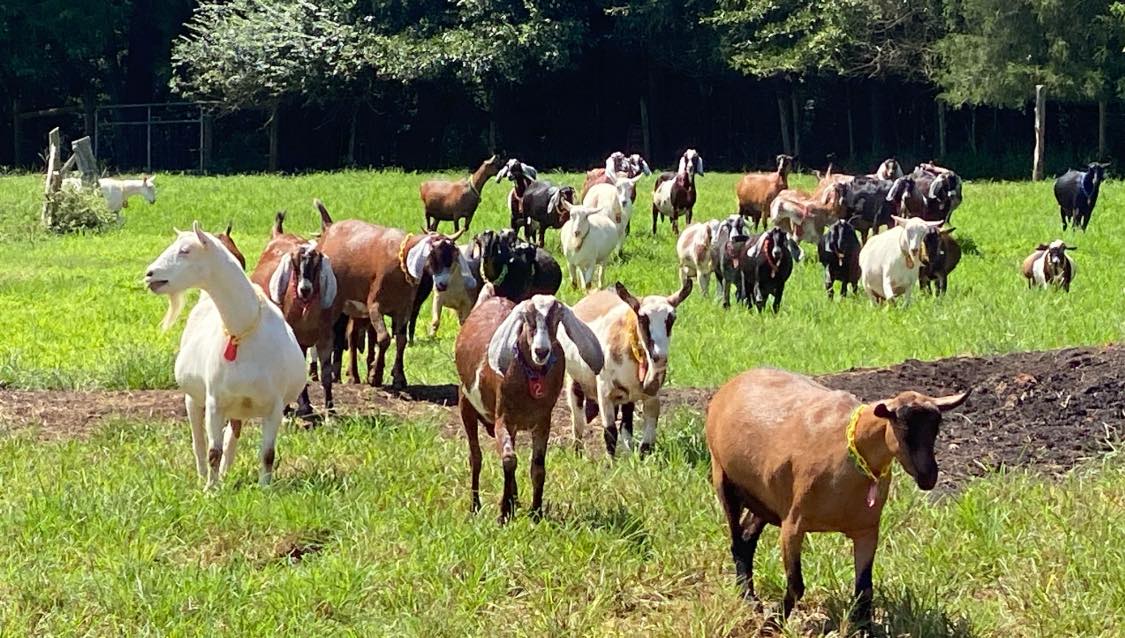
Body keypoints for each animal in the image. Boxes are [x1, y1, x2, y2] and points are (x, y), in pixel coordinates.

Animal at [144, 222, 306, 489]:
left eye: (186, 250)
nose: (150, 274)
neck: (242, 333)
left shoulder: (275, 406)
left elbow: (267, 453)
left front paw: (265, 488)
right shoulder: (214, 402)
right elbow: (213, 451)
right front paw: (211, 489)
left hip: (239, 407)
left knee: (233, 434)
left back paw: (227, 473)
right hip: (193, 397)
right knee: (199, 442)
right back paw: (203, 476)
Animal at [316, 200, 472, 388]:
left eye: (452, 258)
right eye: (434, 256)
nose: (442, 285)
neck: (401, 259)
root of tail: (329, 229)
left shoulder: (403, 309)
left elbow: (401, 340)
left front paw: (399, 377)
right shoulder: (374, 305)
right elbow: (383, 339)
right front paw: (375, 375)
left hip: (354, 307)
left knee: (352, 335)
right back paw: (347, 376)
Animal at [456, 294, 603, 521]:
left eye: (556, 318)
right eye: (528, 318)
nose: (541, 351)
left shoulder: (542, 422)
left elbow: (538, 467)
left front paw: (536, 512)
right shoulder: (503, 419)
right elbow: (509, 459)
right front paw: (504, 513)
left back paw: (515, 500)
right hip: (466, 404)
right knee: (475, 457)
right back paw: (475, 506)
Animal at [563, 280, 692, 456]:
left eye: (671, 318)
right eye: (643, 318)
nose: (659, 356)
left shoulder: (652, 397)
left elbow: (647, 440)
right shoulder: (605, 393)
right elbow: (609, 433)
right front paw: (611, 461)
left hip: (627, 397)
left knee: (626, 423)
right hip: (574, 382)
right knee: (578, 423)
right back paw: (578, 453)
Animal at [706, 367, 969, 625]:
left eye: (935, 429)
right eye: (903, 428)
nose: (928, 477)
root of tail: (732, 383)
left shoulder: (867, 529)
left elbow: (864, 591)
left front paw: (863, 628)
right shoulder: (793, 525)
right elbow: (796, 585)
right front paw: (773, 623)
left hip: (766, 499)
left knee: (747, 537)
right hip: (724, 478)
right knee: (737, 542)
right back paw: (749, 599)